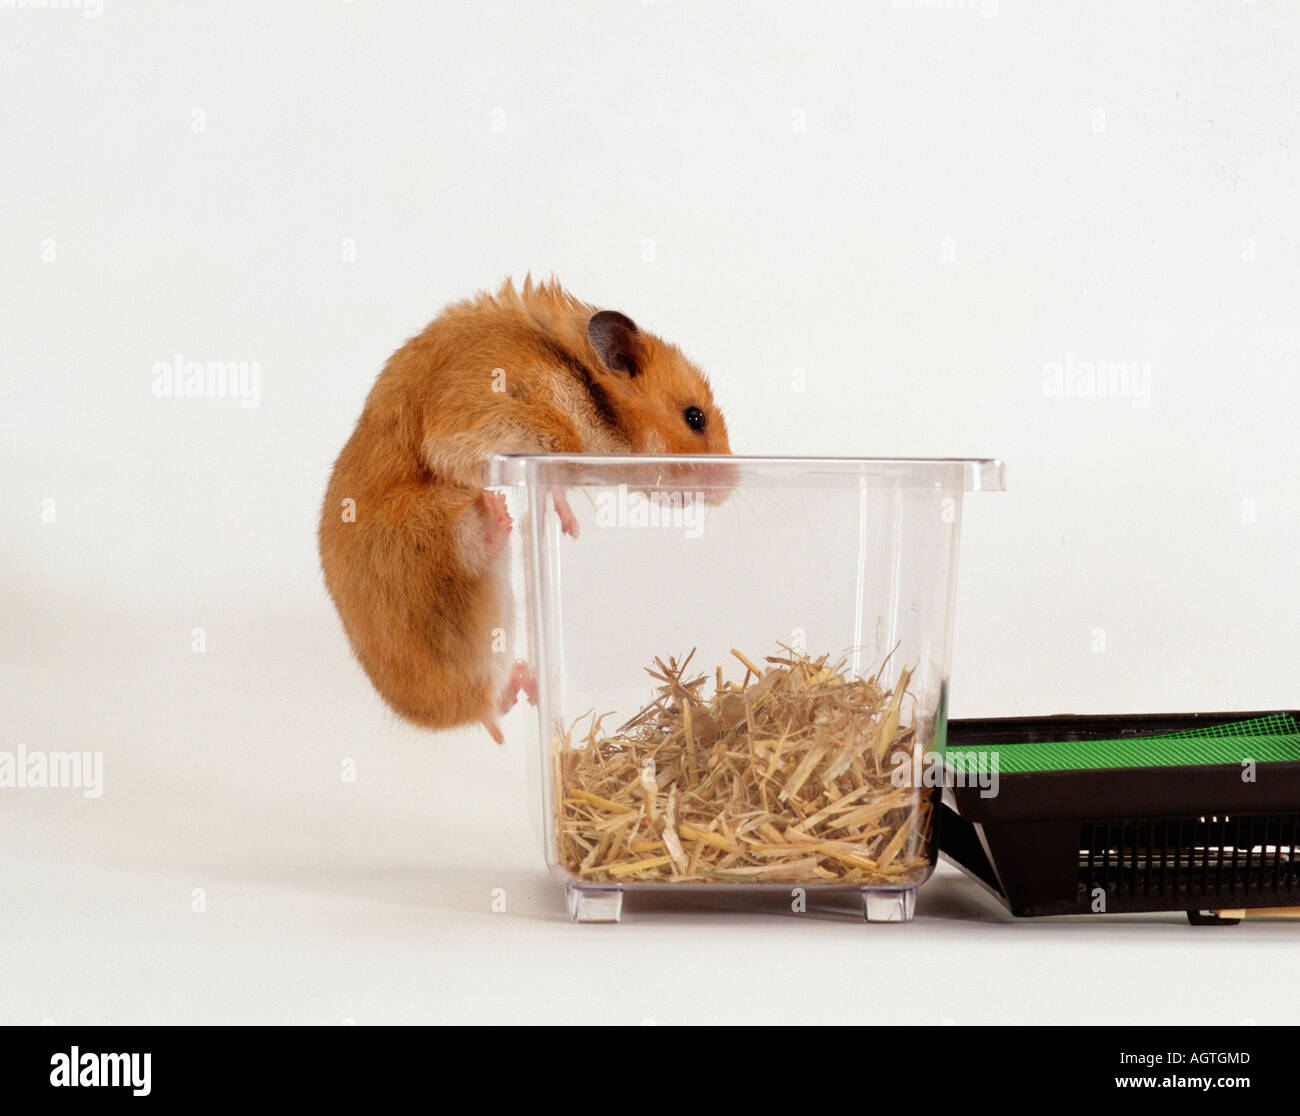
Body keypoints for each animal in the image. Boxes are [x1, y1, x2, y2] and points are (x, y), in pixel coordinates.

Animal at [319, 277, 732, 743]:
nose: (732, 486)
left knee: (496, 699)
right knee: (470, 548)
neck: (588, 387)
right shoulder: (502, 421)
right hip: (427, 532)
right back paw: (497, 513)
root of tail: (470, 706)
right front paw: (569, 525)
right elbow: (534, 472)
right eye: (694, 417)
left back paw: (527, 681)